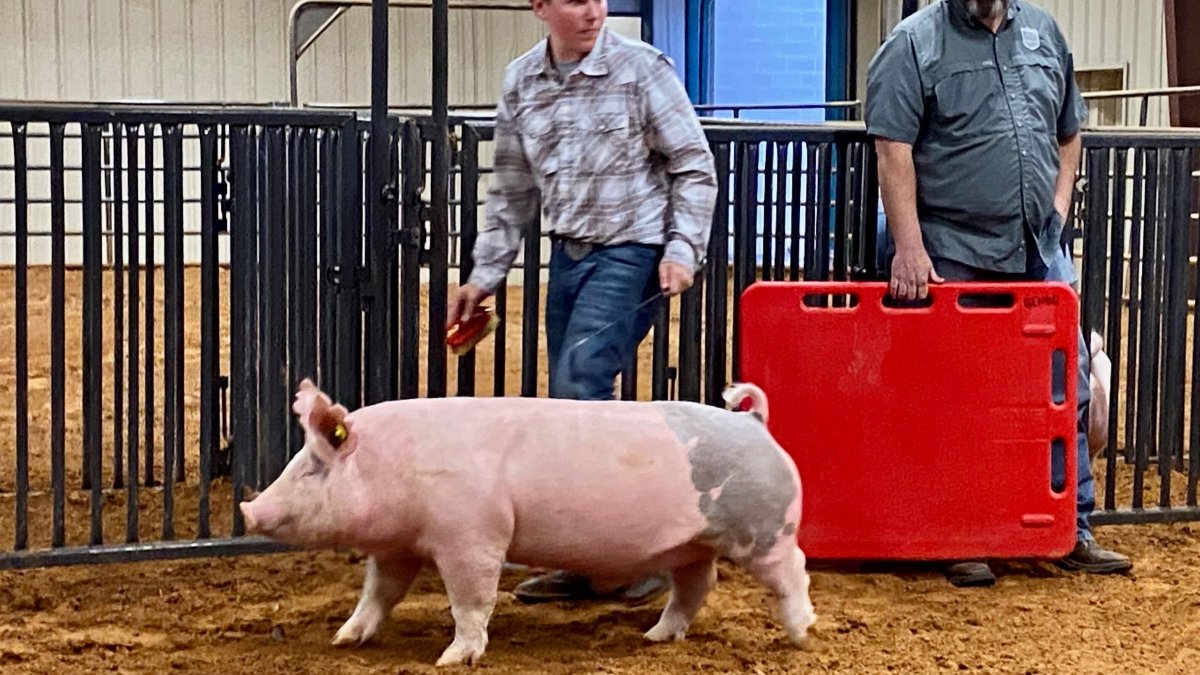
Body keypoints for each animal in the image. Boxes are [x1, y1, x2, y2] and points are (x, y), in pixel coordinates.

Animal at [240, 379, 814, 667]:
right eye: (298, 462)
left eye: (312, 468)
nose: (249, 508)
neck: (396, 464)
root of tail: (752, 421)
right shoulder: (399, 546)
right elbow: (378, 593)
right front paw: (345, 640)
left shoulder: (472, 536)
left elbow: (471, 600)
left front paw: (452, 659)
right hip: (691, 544)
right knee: (697, 585)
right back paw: (655, 638)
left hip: (765, 528)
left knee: (793, 572)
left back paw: (802, 636)